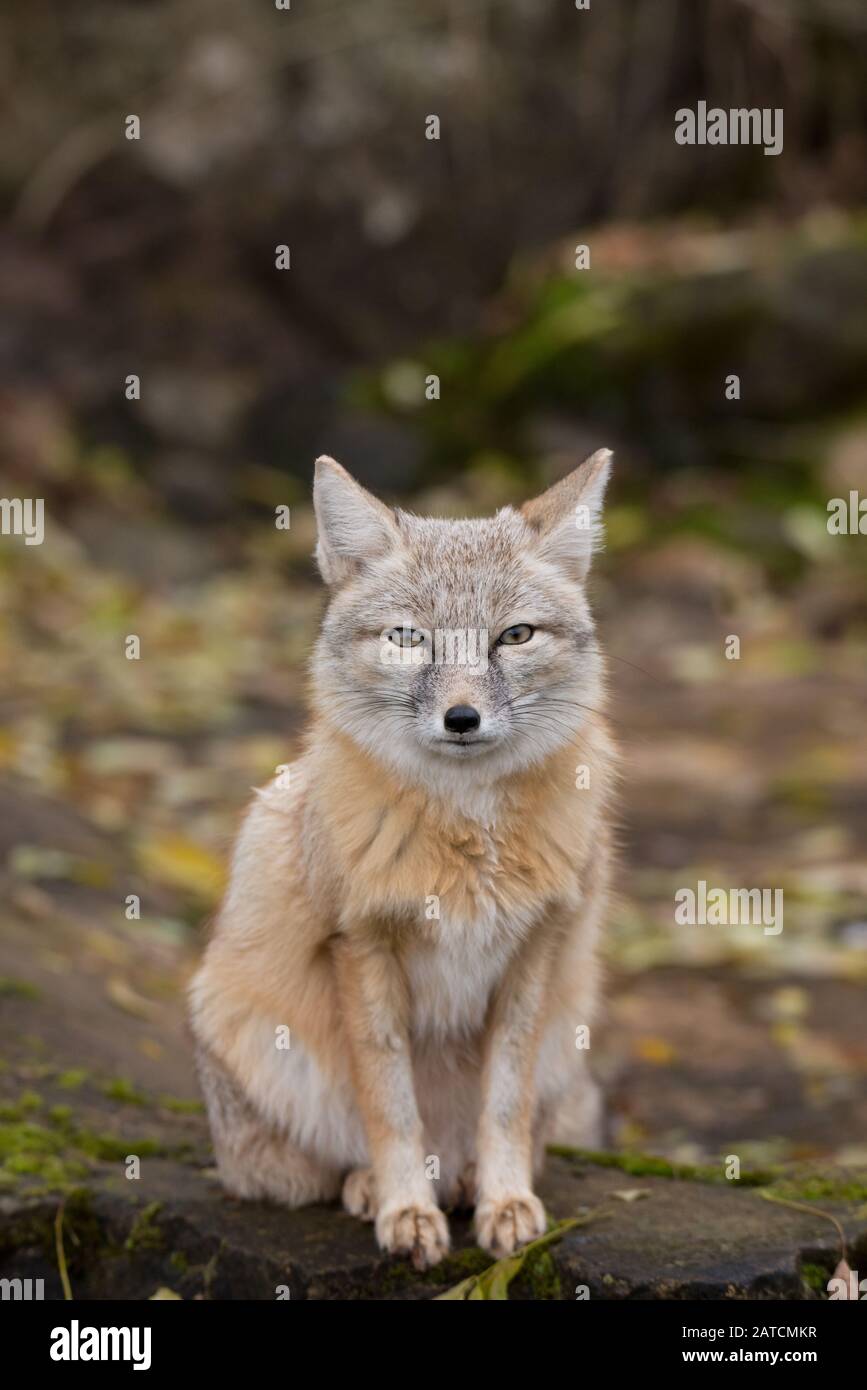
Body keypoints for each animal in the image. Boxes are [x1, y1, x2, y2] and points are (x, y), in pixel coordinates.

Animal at [189, 449, 617, 1270]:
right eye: (409, 639)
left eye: (514, 636)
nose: (462, 717)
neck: (468, 839)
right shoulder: (361, 946)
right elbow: (390, 1104)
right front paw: (403, 1208)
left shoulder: (534, 948)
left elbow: (505, 1103)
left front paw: (505, 1200)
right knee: (329, 1157)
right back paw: (377, 1186)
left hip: (570, 1022)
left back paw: (470, 1181)